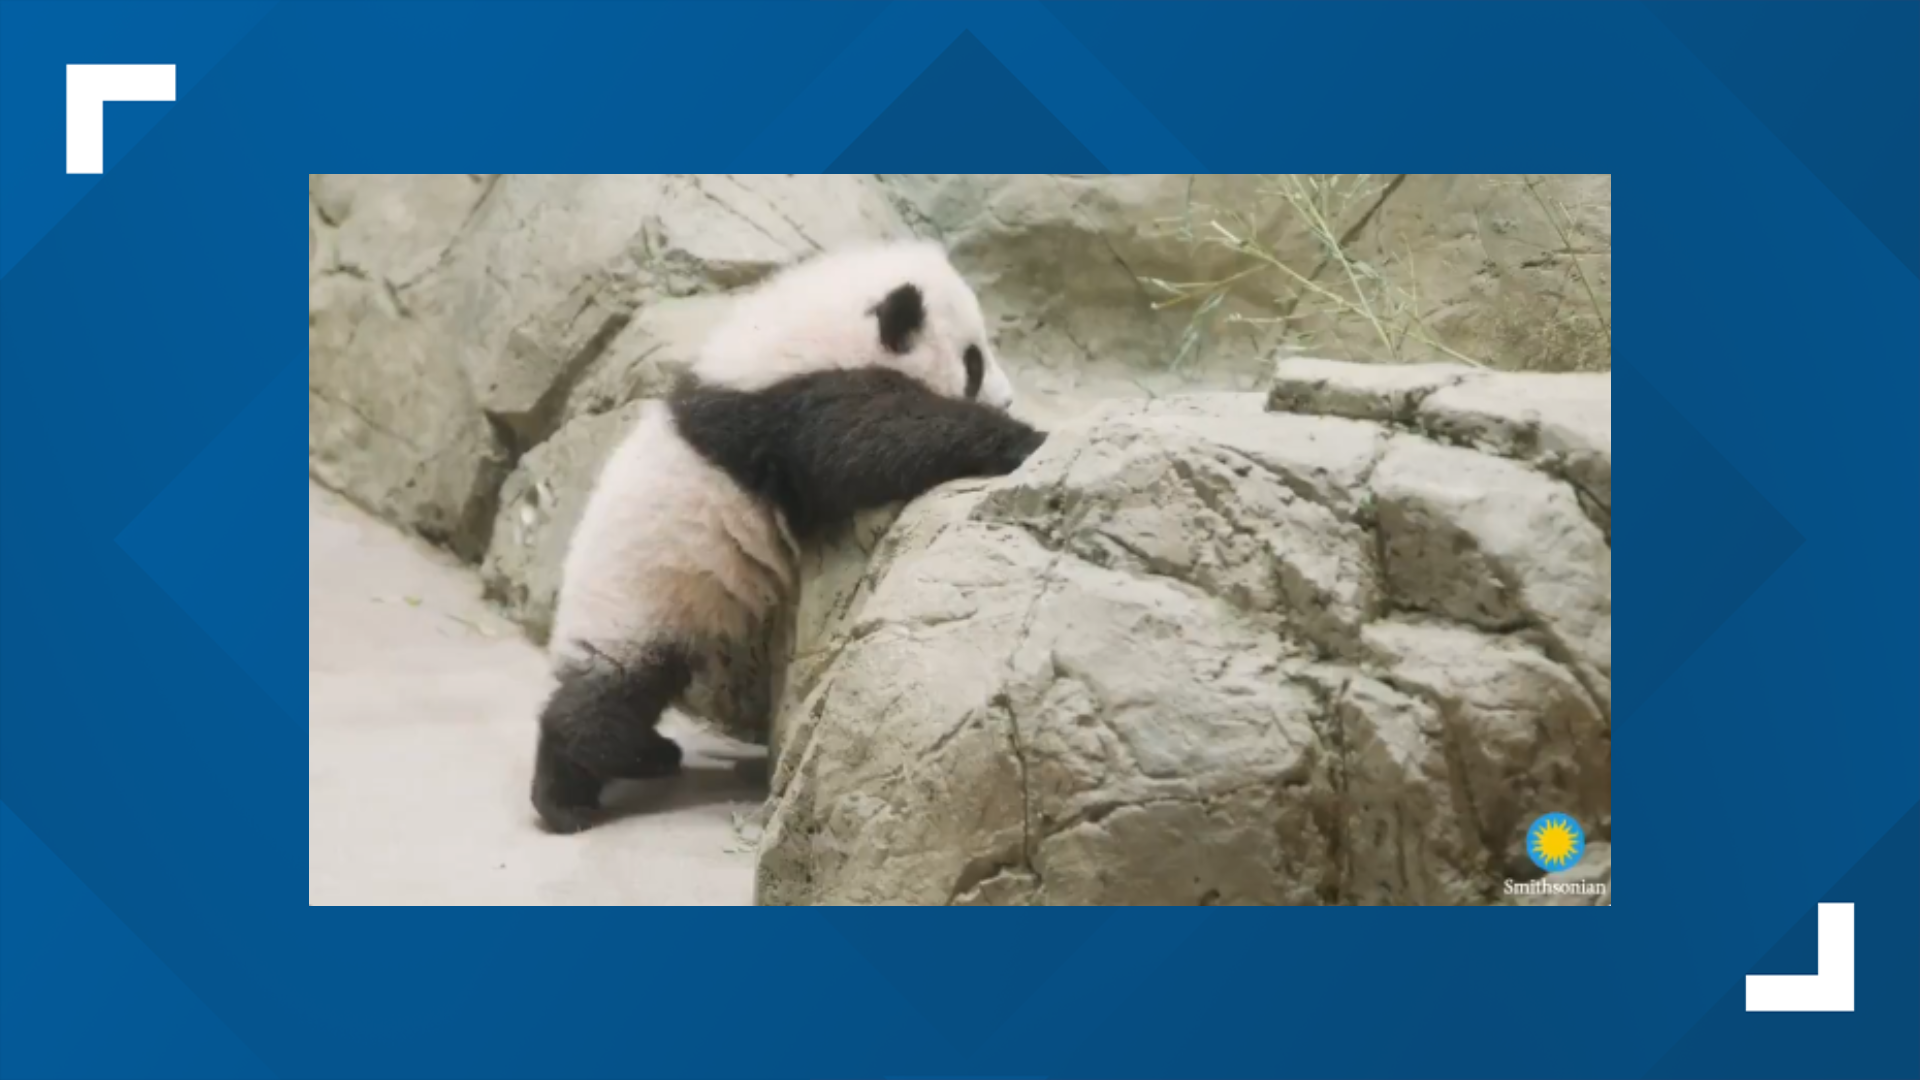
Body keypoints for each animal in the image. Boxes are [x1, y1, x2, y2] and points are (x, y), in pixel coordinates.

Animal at [531, 239, 1048, 834]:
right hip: (636, 600)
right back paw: (566, 797)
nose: (1006, 399)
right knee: (605, 700)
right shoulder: (788, 412)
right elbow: (874, 439)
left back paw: (647, 754)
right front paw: (1023, 439)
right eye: (973, 360)